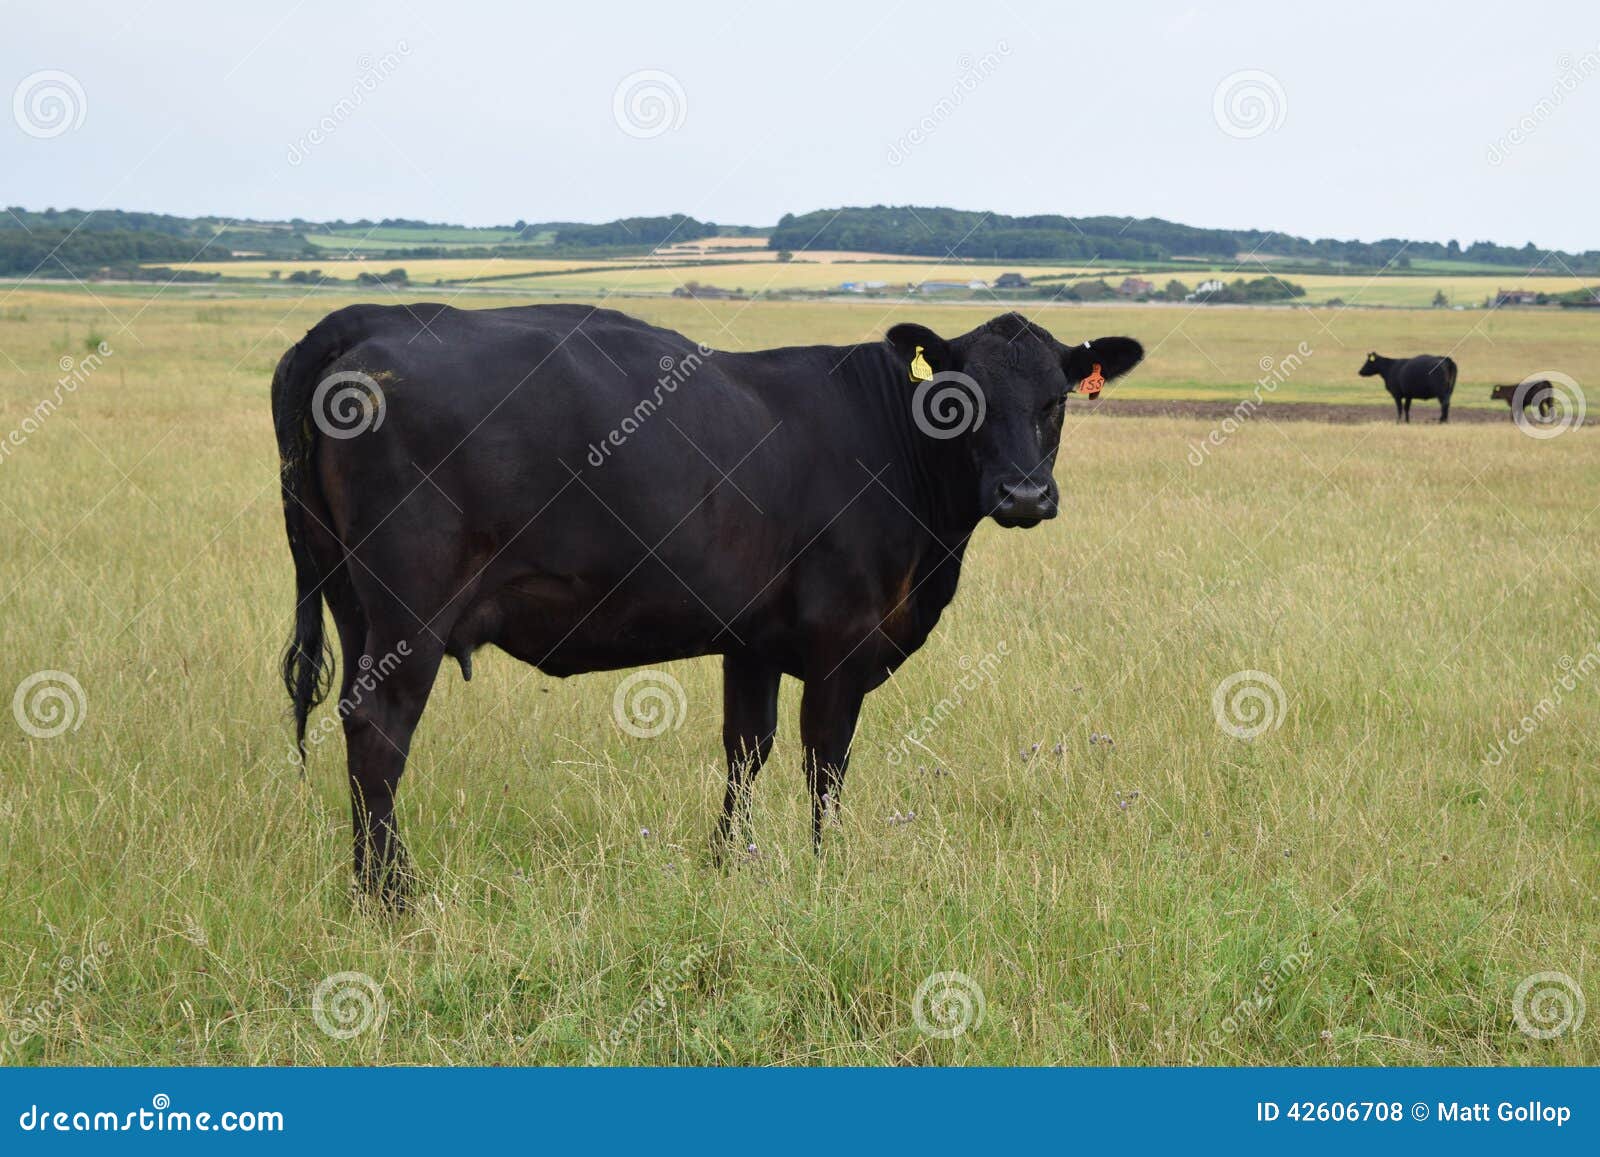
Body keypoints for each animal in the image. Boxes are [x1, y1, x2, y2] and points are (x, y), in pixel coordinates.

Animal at [272, 306, 1143, 905]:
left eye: (1057, 400)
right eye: (962, 400)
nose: (1024, 494)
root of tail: (373, 321)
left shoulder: (752, 640)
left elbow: (745, 750)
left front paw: (729, 863)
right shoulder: (843, 637)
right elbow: (825, 759)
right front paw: (824, 871)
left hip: (353, 602)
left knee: (353, 723)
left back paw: (362, 881)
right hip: (410, 614)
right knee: (379, 732)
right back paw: (394, 896)